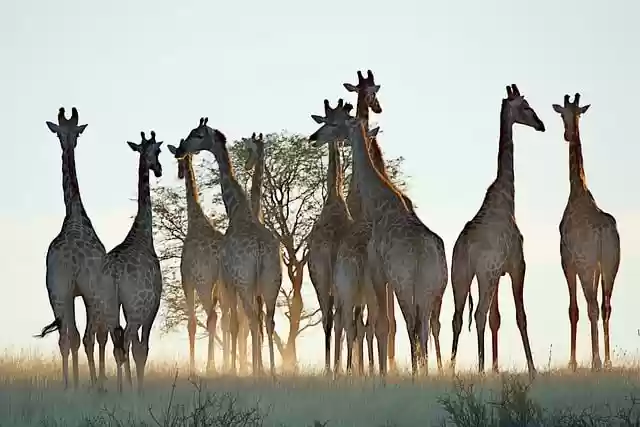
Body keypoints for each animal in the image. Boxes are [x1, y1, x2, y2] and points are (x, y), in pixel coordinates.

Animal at [38, 107, 122, 390]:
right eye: (62, 133)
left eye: (73, 133)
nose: (68, 141)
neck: (74, 213)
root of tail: (73, 261)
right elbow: (95, 338)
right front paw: (96, 380)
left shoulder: (65, 292)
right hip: (86, 293)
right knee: (87, 337)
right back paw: (92, 385)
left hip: (59, 292)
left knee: (69, 338)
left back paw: (71, 386)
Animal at [174, 118, 283, 376]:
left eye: (198, 134)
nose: (181, 150)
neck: (237, 211)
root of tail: (261, 250)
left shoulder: (223, 279)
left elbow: (231, 324)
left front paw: (231, 369)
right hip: (271, 282)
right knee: (267, 320)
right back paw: (271, 371)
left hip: (239, 283)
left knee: (245, 319)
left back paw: (251, 371)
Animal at [309, 100, 448, 377]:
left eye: (335, 123)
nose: (313, 138)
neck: (381, 203)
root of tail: (426, 254)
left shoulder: (378, 271)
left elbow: (380, 324)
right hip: (431, 288)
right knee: (426, 327)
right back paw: (425, 372)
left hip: (403, 284)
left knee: (407, 325)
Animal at [450, 84, 544, 379]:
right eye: (526, 106)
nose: (541, 125)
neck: (507, 198)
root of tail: (466, 246)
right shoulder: (516, 265)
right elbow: (520, 316)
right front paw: (532, 369)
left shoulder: (499, 273)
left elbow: (496, 319)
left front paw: (495, 366)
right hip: (485, 274)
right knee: (477, 314)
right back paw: (478, 369)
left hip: (460, 274)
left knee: (458, 317)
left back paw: (451, 367)